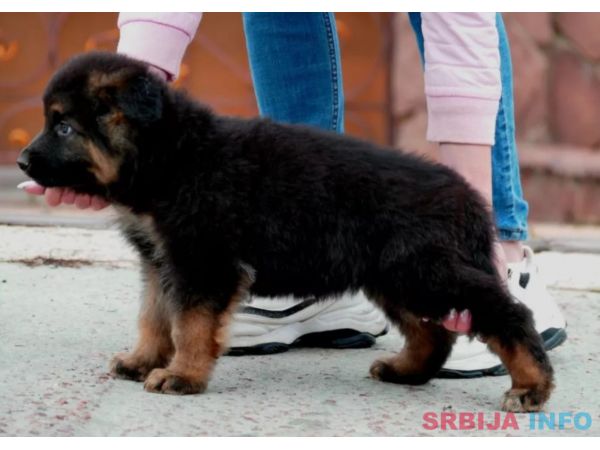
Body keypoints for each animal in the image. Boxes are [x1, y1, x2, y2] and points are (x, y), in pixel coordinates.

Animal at [17, 51, 552, 412]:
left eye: (63, 127)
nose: (21, 160)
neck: (173, 155)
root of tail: (467, 199)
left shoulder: (203, 262)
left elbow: (189, 326)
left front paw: (182, 375)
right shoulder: (160, 261)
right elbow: (154, 317)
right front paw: (143, 360)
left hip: (424, 272)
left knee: (507, 312)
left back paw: (531, 386)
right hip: (395, 277)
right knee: (432, 333)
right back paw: (406, 371)